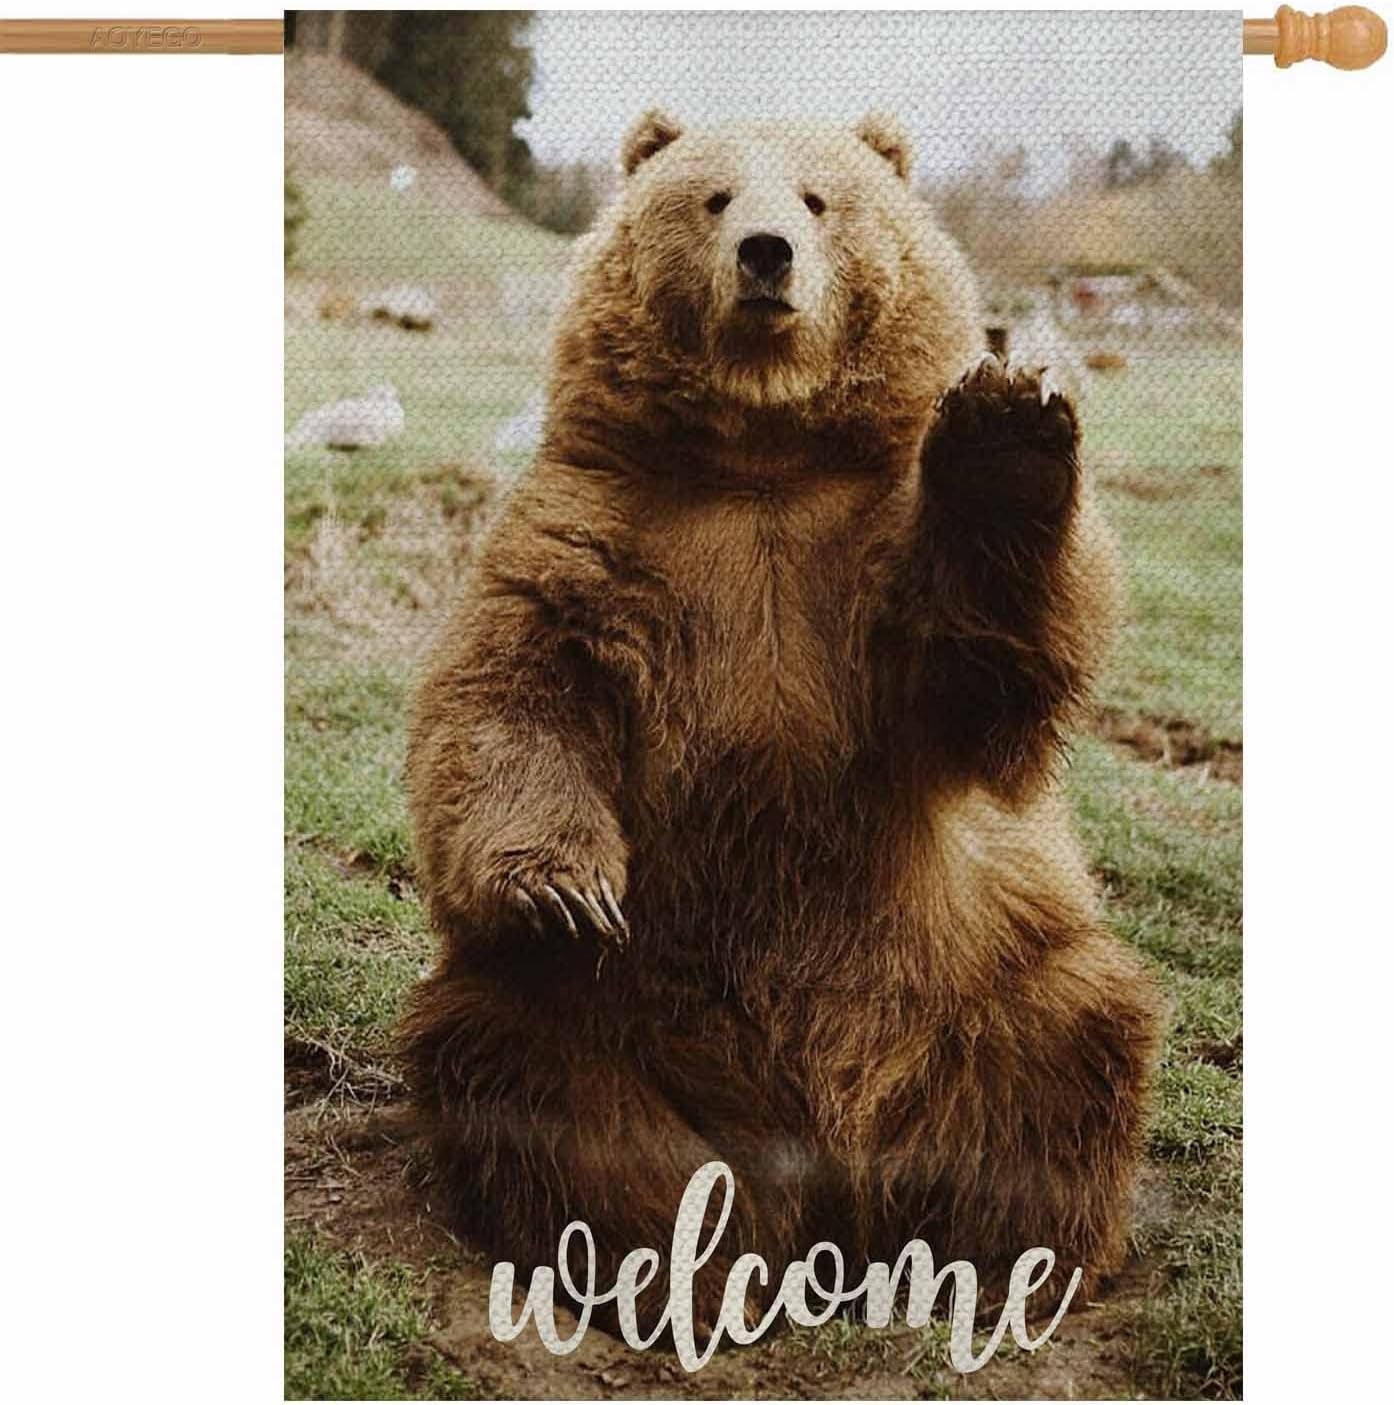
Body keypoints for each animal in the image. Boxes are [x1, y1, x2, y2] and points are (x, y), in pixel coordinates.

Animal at [401, 110, 1163, 1338]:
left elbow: (980, 670)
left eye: (816, 198)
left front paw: (1004, 428)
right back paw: (688, 1266)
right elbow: (511, 694)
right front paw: (563, 886)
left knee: (1069, 1043)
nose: (766, 254)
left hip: (975, 974)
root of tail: (826, 1170)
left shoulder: (858, 569)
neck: (759, 455)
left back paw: (1003, 1261)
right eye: (713, 197)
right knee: (528, 1071)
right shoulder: (597, 535)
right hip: (611, 1016)